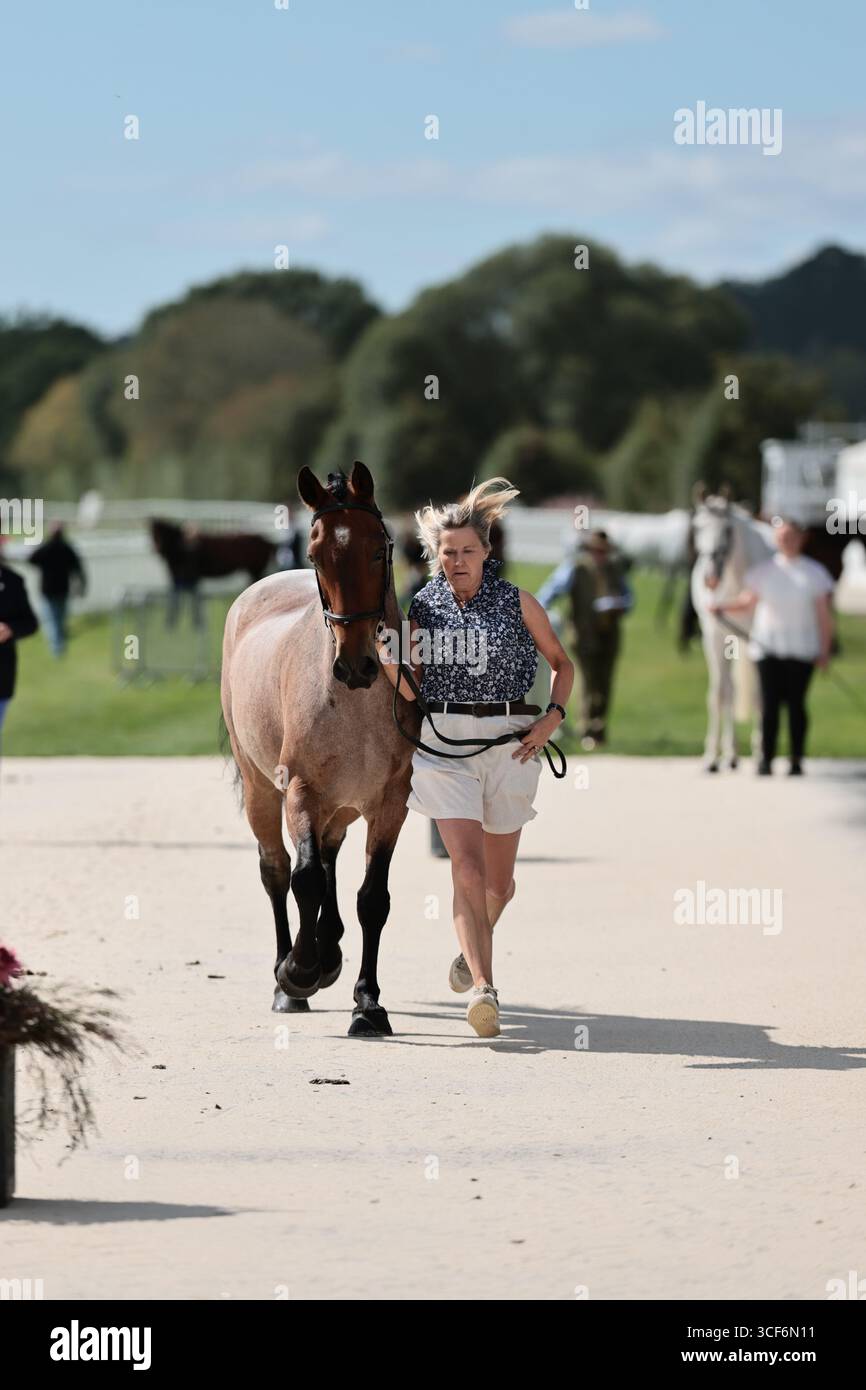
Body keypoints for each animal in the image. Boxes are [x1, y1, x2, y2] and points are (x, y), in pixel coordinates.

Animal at [219, 462, 420, 1037]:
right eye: (316, 555)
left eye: (378, 548)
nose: (355, 665)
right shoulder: (301, 790)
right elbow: (303, 879)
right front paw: (298, 971)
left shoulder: (389, 803)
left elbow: (372, 899)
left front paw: (368, 1003)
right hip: (263, 791)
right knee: (277, 869)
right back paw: (290, 975)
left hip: (341, 805)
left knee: (327, 857)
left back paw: (329, 951)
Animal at [691, 496, 775, 772]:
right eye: (696, 527)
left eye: (727, 529)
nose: (710, 578)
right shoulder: (714, 638)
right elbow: (719, 694)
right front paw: (711, 757)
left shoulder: (756, 642)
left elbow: (761, 695)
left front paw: (761, 754)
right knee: (731, 690)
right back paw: (731, 754)